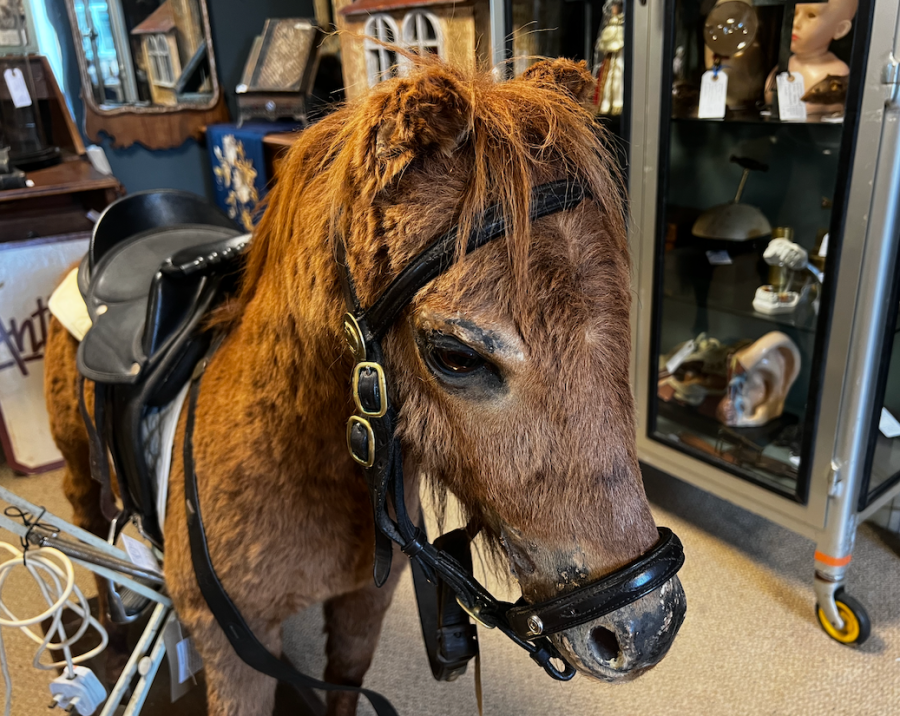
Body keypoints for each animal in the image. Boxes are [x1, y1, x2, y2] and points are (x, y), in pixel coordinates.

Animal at [44, 56, 686, 715]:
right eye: (454, 356)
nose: (646, 626)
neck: (292, 460)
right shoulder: (231, 653)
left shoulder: (362, 606)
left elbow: (344, 684)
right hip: (75, 459)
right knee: (79, 515)